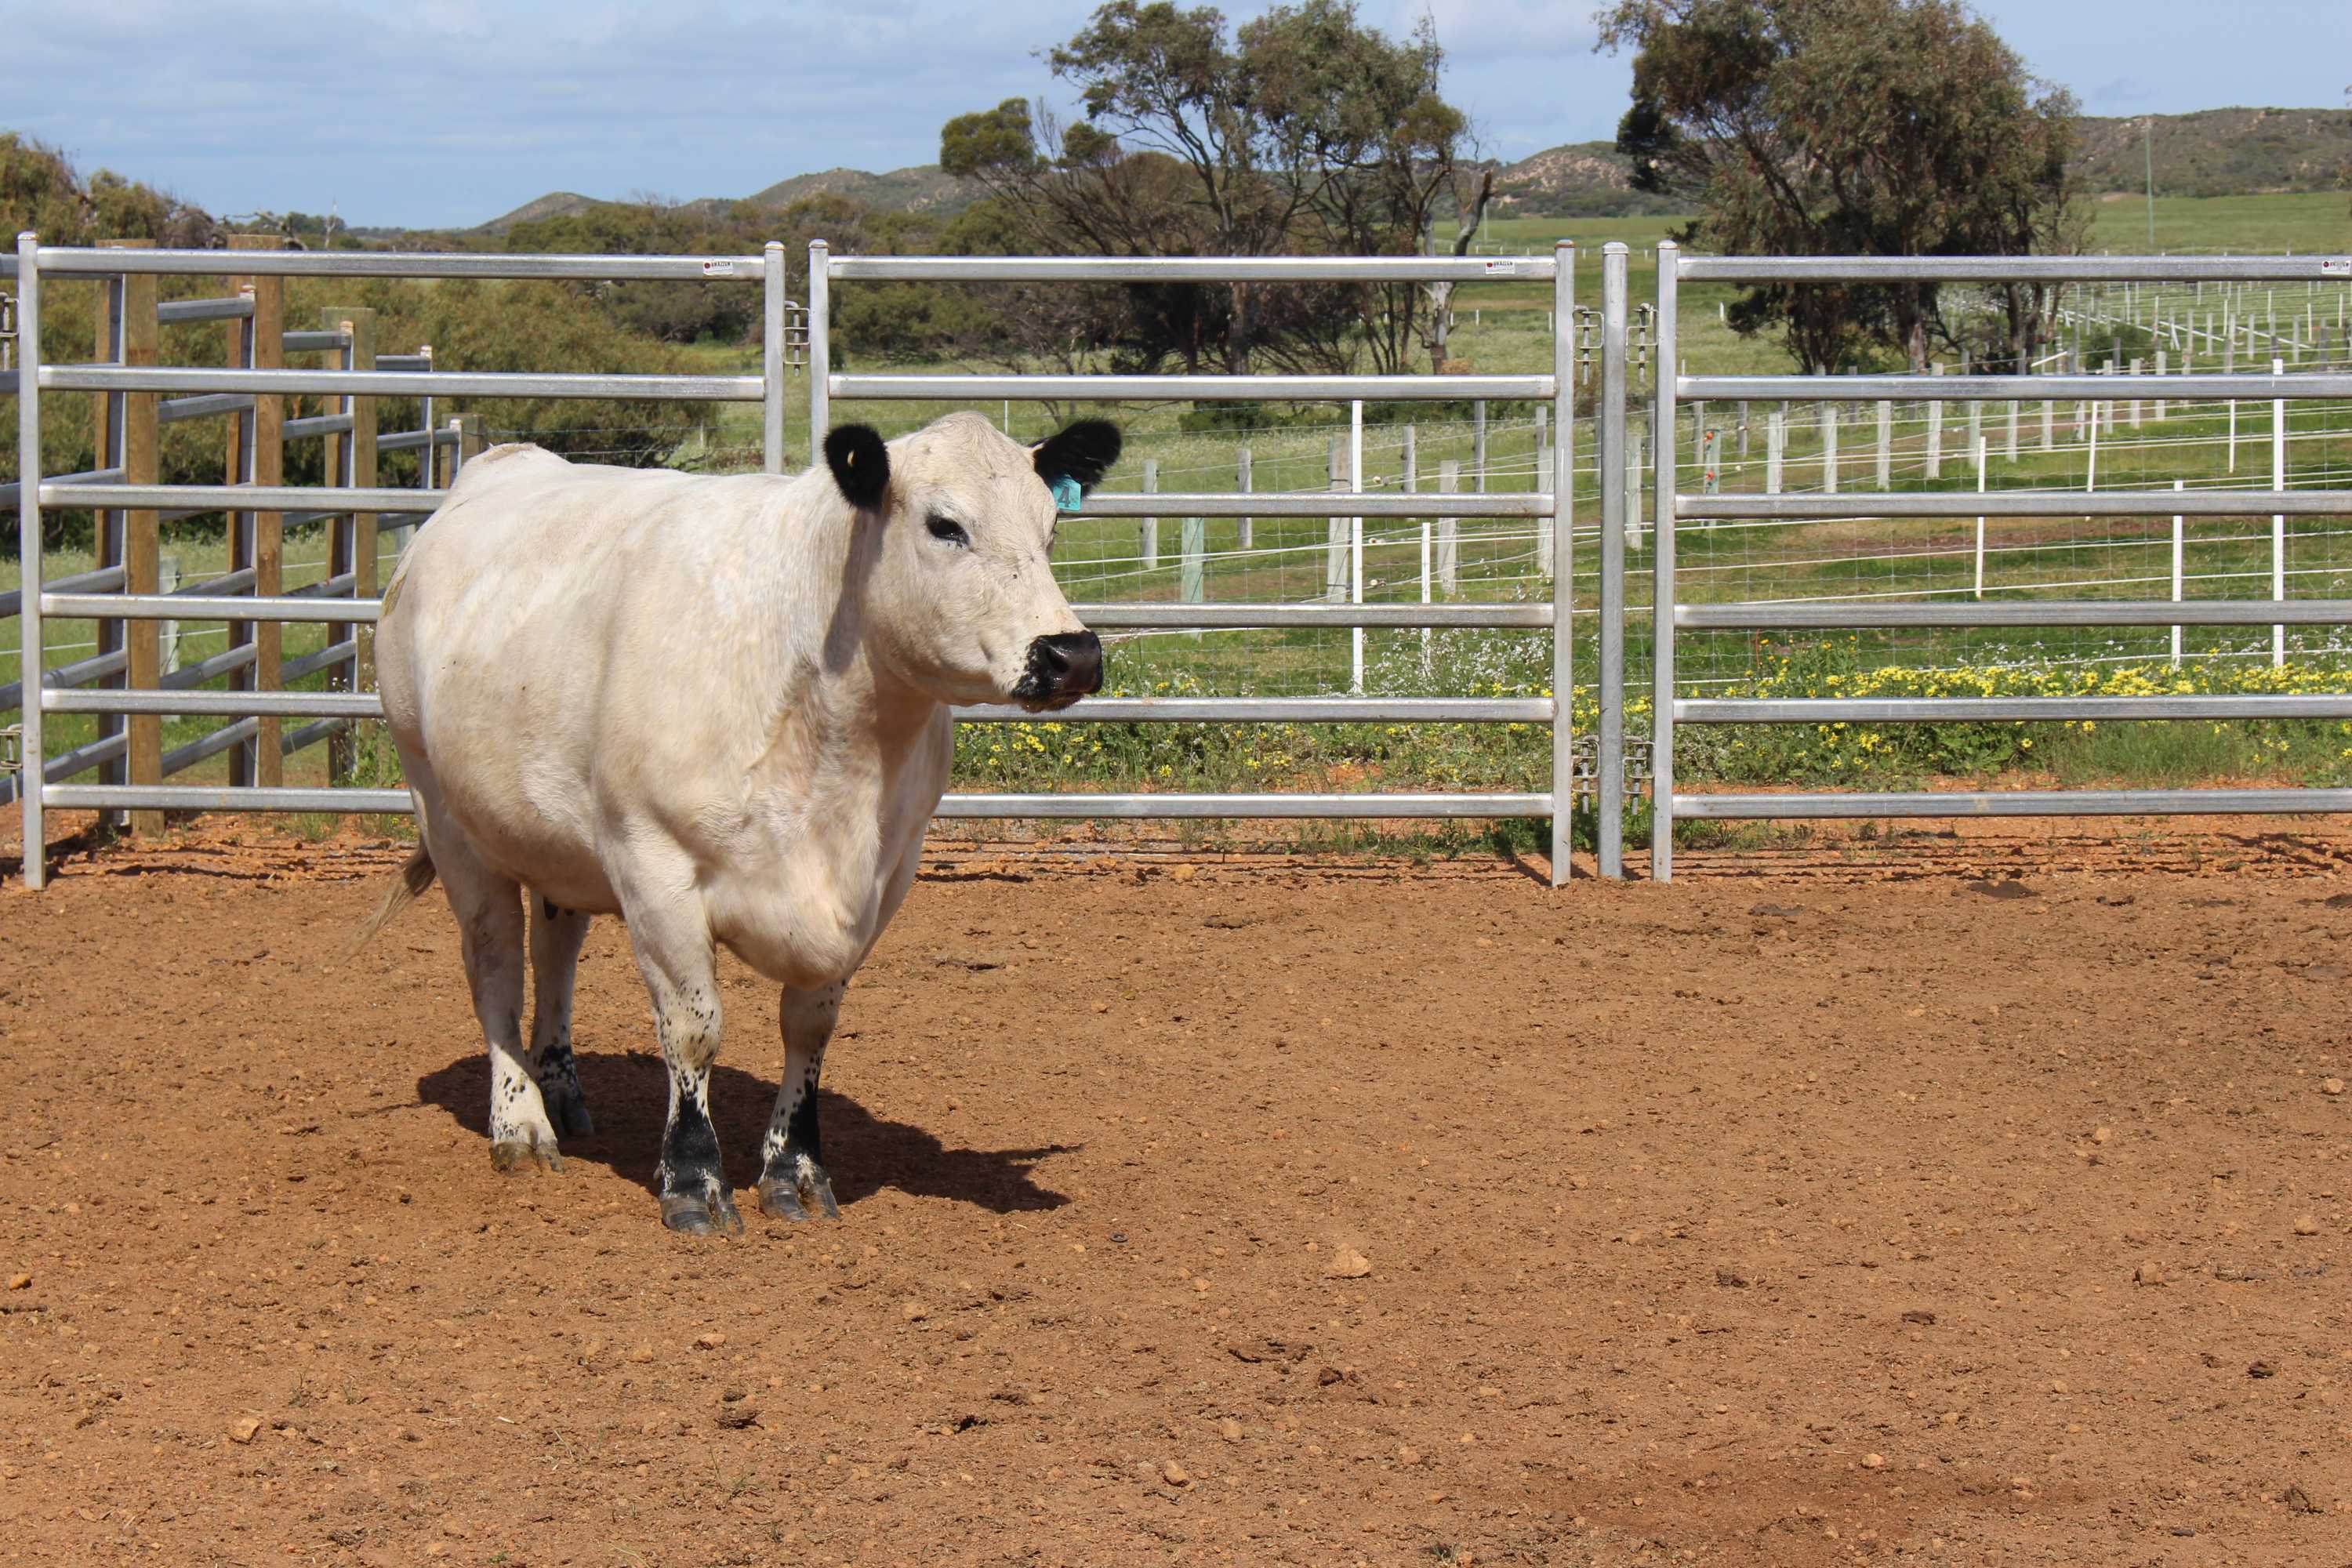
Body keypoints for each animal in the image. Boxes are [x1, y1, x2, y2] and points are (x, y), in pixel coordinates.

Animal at [360, 411, 1120, 1234]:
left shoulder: (882, 880)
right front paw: (693, 1179)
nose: (1071, 653)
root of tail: (501, 463)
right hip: (447, 816)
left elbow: (809, 1027)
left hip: (554, 841)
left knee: (554, 953)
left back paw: (561, 1090)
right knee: (496, 965)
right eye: (945, 525)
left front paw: (796, 1170)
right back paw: (522, 1124)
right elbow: (695, 1030)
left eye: (1051, 528)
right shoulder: (653, 863)